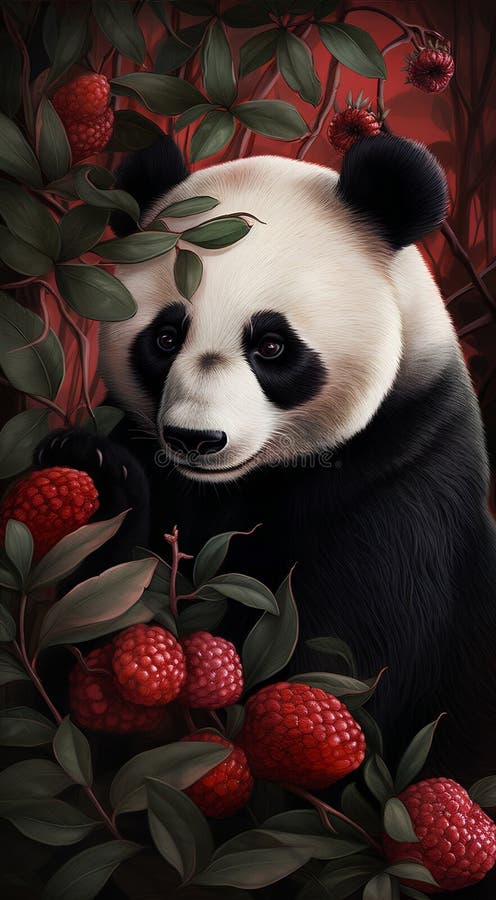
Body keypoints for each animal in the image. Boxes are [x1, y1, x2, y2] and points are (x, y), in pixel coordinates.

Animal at [37, 134, 496, 789]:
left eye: (272, 346)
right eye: (166, 338)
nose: (195, 439)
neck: (241, 486)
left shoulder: (405, 495)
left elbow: (332, 679)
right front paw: (94, 472)